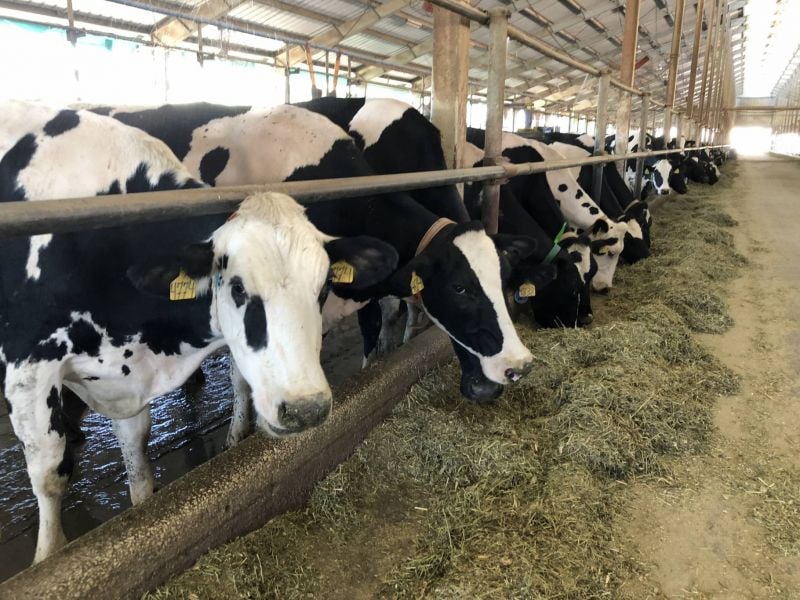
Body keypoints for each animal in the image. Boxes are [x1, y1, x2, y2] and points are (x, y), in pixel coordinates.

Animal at [0, 102, 397, 563]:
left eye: (323, 288)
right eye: (238, 288)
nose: (306, 409)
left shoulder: (123, 376)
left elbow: (137, 457)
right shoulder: (28, 363)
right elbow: (49, 474)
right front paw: (48, 556)